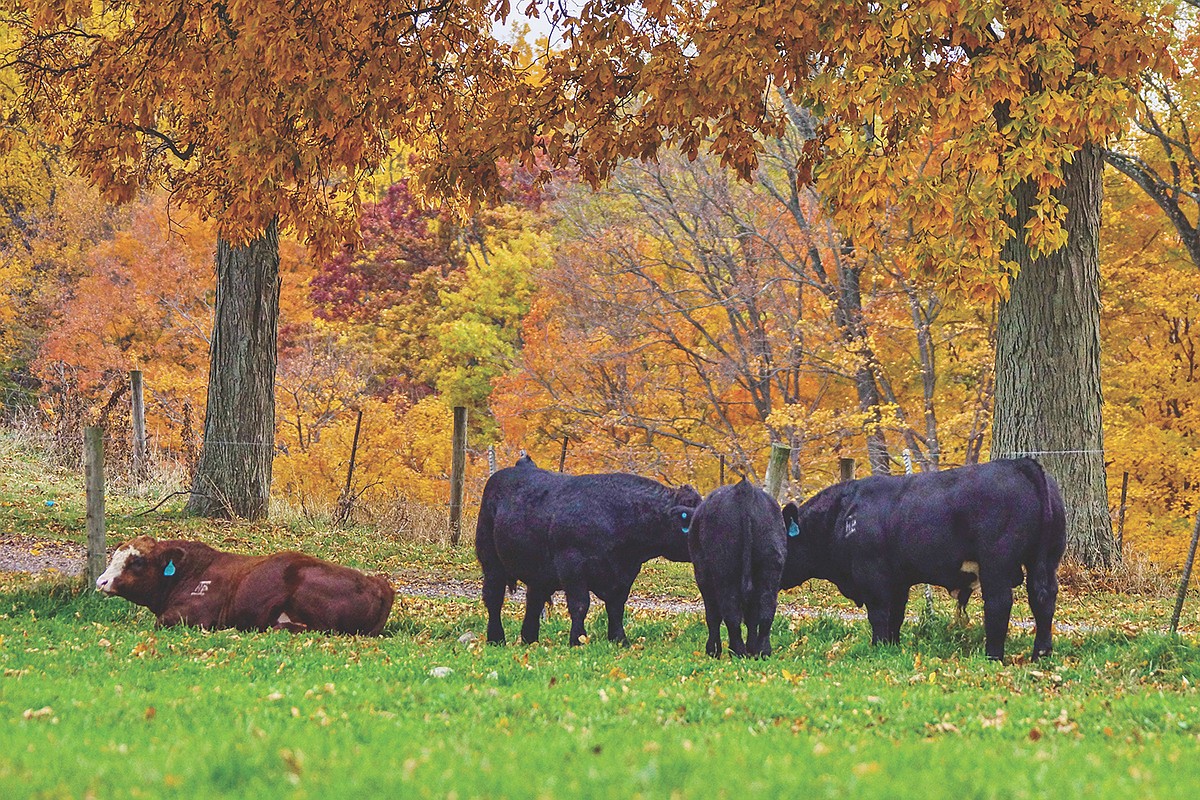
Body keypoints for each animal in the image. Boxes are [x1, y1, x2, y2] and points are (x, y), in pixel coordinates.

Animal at [475, 455, 702, 646]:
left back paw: (530, 640)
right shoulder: (571, 566)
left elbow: (616, 607)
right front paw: (578, 640)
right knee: (493, 597)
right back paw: (496, 638)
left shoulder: (626, 573)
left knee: (534, 601)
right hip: (491, 560)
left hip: (538, 572)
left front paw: (620, 640)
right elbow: (580, 604)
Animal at [688, 478, 786, 658]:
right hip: (771, 565)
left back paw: (737, 651)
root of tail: (744, 489)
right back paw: (762, 651)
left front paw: (713, 650)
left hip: (724, 568)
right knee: (766, 609)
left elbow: (713, 615)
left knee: (730, 610)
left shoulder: (703, 575)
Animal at [780, 458, 1066, 661]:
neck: (843, 516)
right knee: (1042, 598)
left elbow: (879, 614)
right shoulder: (898, 580)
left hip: (996, 562)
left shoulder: (872, 576)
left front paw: (877, 647)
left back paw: (993, 655)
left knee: (999, 603)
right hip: (1046, 559)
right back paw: (1041, 654)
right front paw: (891, 646)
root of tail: (1021, 463)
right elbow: (896, 614)